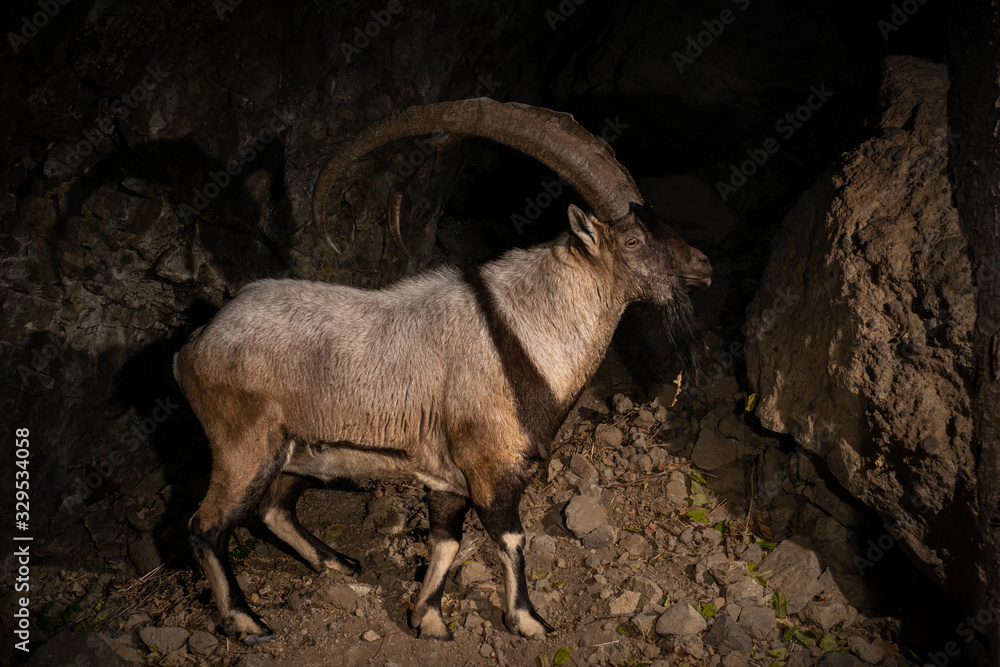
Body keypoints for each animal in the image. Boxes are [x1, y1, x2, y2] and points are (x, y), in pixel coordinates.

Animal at [174, 98, 712, 645]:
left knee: (273, 508)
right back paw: (248, 621)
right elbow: (511, 538)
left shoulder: (447, 480)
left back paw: (337, 562)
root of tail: (195, 345)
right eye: (632, 240)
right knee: (206, 525)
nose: (703, 265)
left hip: (296, 454)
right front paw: (528, 620)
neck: (523, 335)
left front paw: (428, 619)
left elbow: (446, 542)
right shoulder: (491, 467)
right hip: (244, 448)